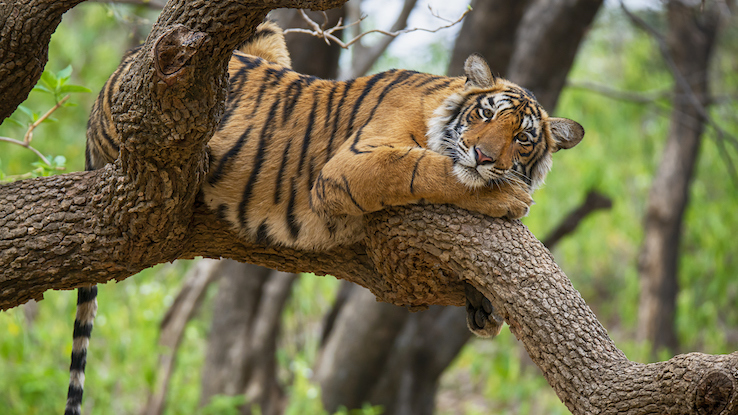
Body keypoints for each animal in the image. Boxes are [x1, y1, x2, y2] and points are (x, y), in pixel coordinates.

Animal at [70, 19, 584, 414]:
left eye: (522, 139)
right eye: (485, 114)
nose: (484, 156)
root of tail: (105, 89)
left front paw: (484, 304)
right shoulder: (351, 165)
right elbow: (430, 170)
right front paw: (508, 196)